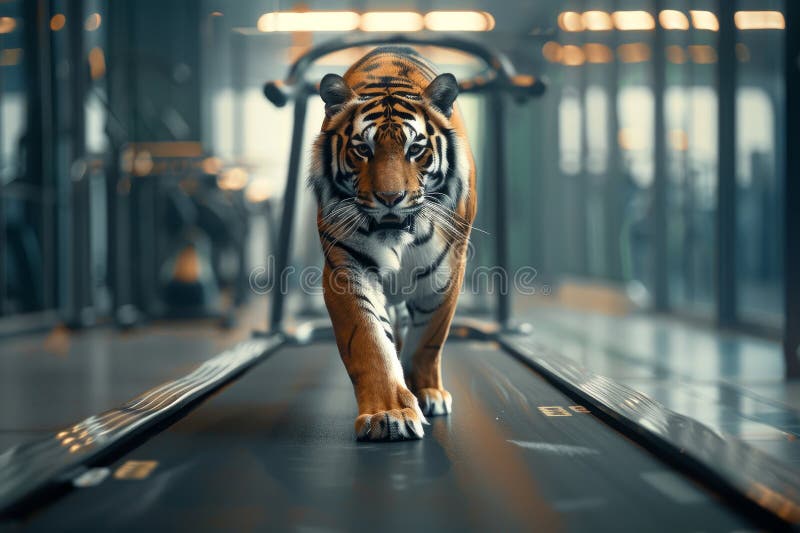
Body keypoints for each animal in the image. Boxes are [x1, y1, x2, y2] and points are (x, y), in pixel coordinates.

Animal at [309, 46, 476, 441]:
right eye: (362, 149)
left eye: (415, 148)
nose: (390, 198)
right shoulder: (347, 269)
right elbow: (370, 342)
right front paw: (389, 413)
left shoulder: (446, 273)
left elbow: (428, 340)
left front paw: (427, 391)